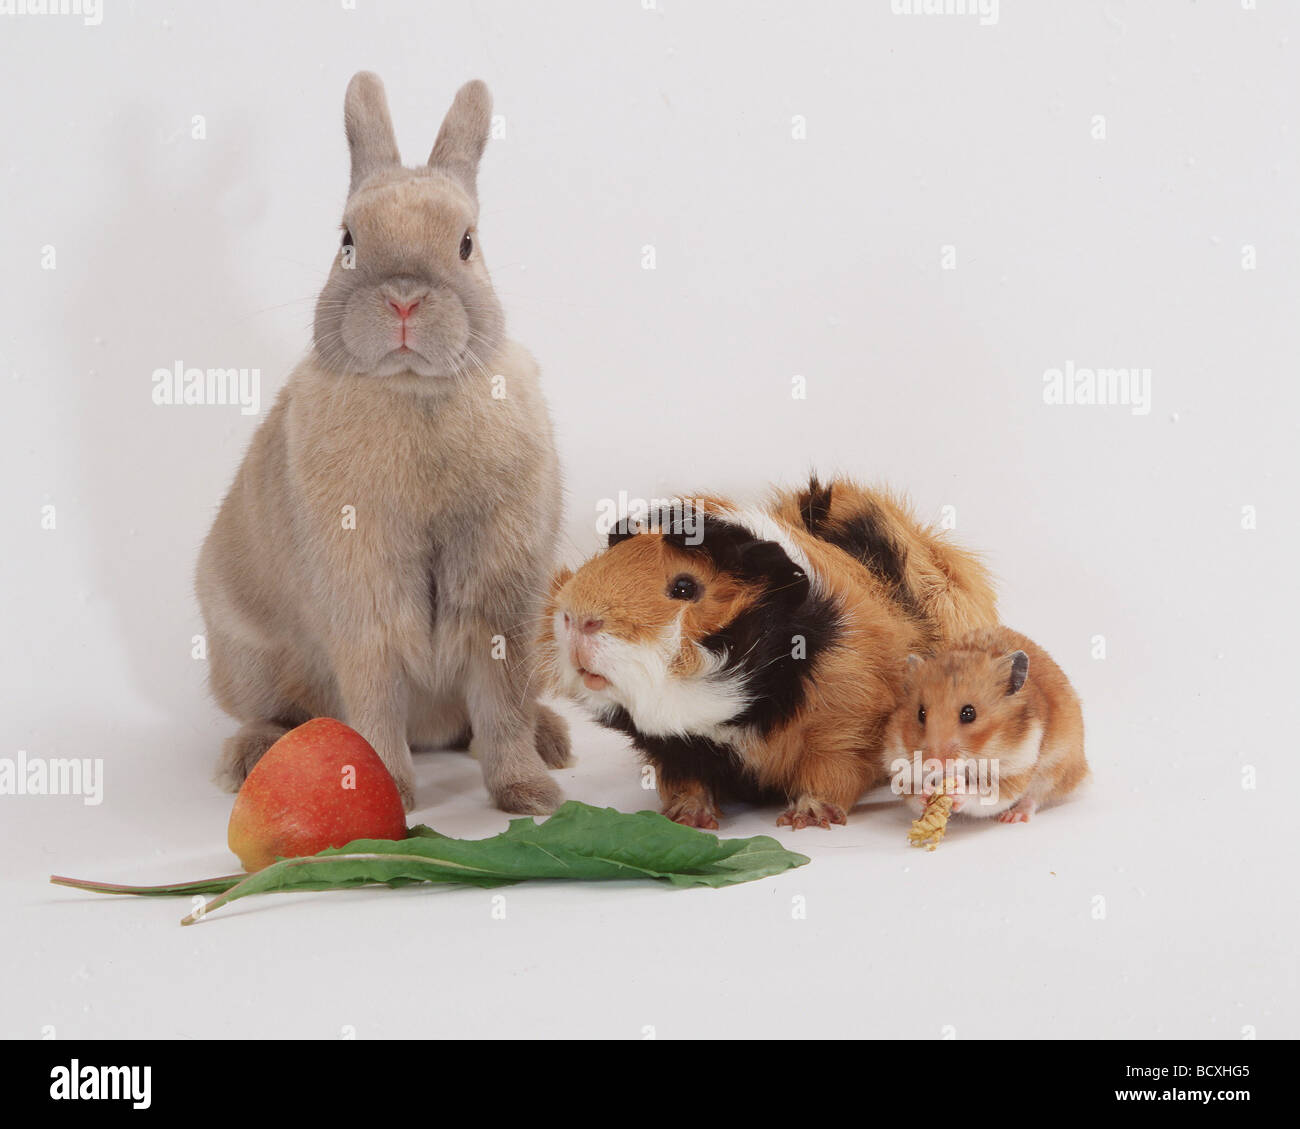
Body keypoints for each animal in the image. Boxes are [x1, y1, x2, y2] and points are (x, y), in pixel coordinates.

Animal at [545, 475, 999, 829]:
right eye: (607, 560)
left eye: (685, 587)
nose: (577, 620)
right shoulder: (673, 751)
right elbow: (685, 782)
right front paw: (688, 819)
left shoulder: (847, 726)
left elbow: (831, 775)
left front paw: (806, 818)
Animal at [882, 626, 1087, 823]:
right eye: (921, 713)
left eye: (969, 713)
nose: (935, 764)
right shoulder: (899, 766)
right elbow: (912, 793)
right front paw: (926, 793)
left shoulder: (1014, 771)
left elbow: (985, 794)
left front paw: (957, 791)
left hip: (1056, 769)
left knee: (1035, 797)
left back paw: (1013, 817)